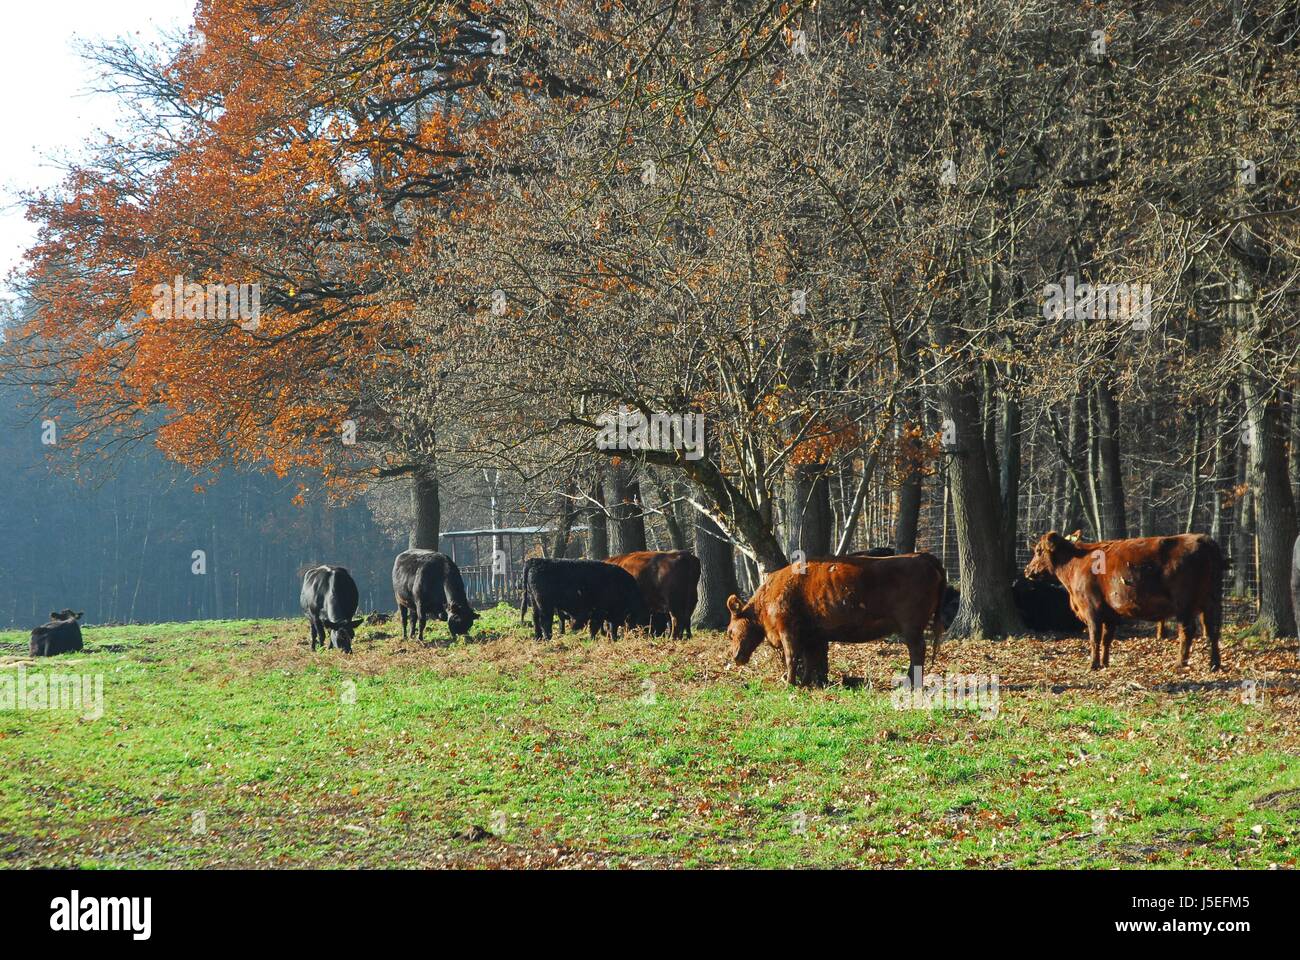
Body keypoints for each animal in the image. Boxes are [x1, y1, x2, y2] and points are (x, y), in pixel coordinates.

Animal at [520, 558, 649, 641]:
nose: (645, 634)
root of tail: (536, 561)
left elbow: (611, 626)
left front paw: (613, 639)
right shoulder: (599, 612)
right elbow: (597, 627)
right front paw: (594, 639)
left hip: (535, 602)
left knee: (535, 618)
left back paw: (538, 638)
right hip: (545, 605)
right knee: (544, 620)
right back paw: (548, 638)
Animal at [726, 553, 947, 688]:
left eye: (730, 632)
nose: (736, 657)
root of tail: (921, 556)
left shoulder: (787, 630)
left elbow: (792, 657)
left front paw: (790, 683)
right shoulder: (811, 635)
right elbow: (810, 659)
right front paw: (806, 683)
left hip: (911, 626)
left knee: (917, 651)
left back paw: (912, 683)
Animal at [1024, 531, 1225, 671]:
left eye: (1038, 551)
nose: (1027, 570)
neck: (1075, 562)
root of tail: (1205, 540)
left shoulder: (1092, 609)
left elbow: (1095, 637)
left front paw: (1093, 664)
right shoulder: (1110, 613)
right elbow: (1107, 639)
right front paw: (1104, 663)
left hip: (1184, 604)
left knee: (1187, 631)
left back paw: (1180, 663)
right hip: (1211, 601)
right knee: (1212, 630)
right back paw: (1214, 663)